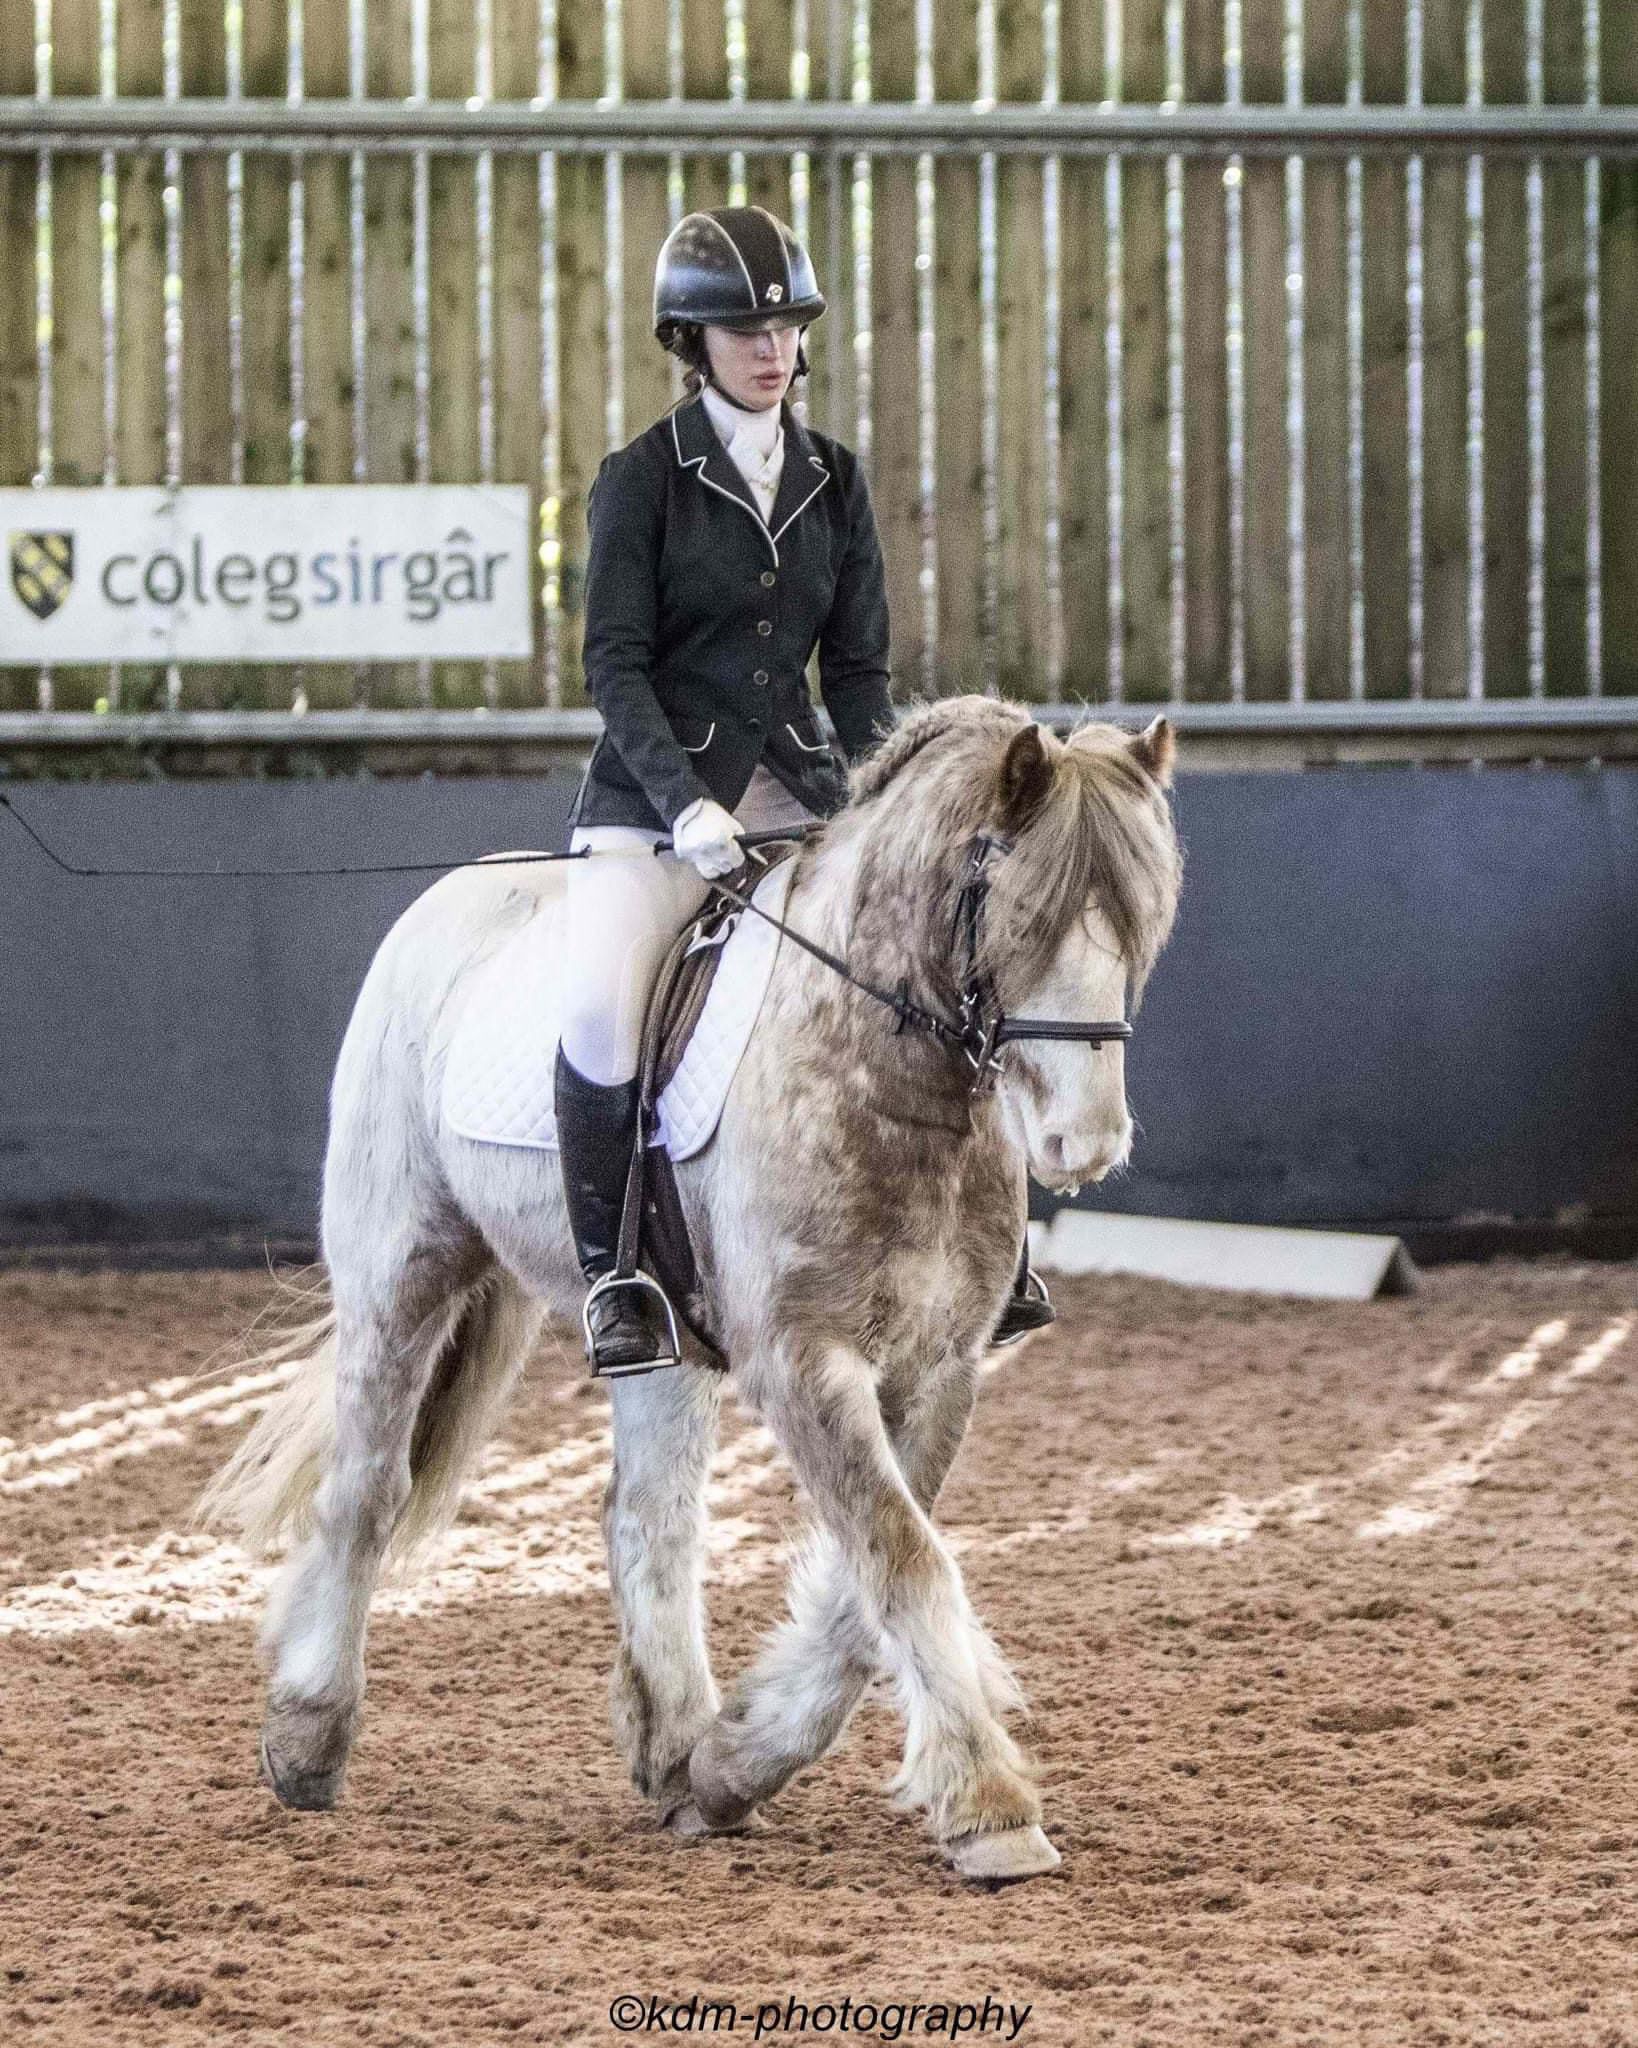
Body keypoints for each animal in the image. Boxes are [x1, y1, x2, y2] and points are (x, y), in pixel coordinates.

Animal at [201, 693, 1182, 1884]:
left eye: (1141, 924)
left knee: (647, 1515)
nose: (1085, 1143)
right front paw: (991, 1806)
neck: (889, 1085)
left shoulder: (941, 1365)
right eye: (1015, 911)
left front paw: (734, 1762)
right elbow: (899, 1552)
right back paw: (307, 1738)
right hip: (403, 1262)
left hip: (658, 1339)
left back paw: (674, 1750)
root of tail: (453, 896)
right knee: (367, 1489)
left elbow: (869, 1576)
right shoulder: (801, 1355)